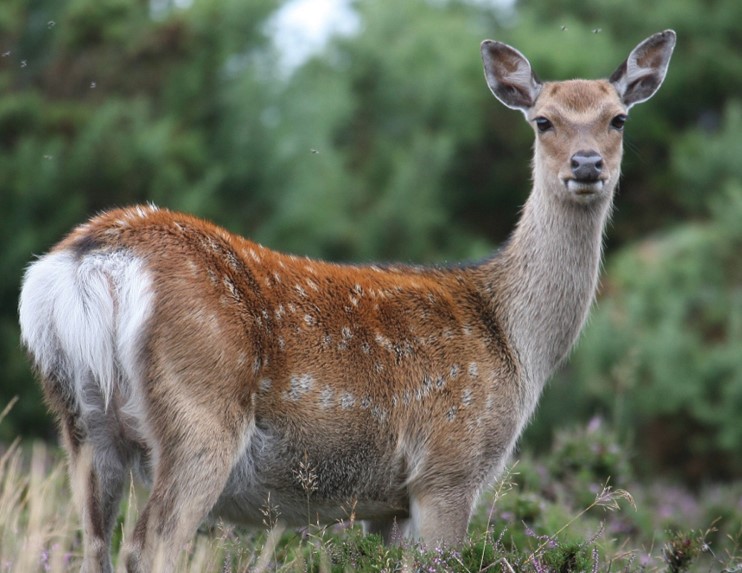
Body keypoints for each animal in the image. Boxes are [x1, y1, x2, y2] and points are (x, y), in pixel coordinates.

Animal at [18, 30, 675, 572]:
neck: (516, 342)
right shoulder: (449, 466)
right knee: (151, 544)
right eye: (543, 121)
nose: (586, 164)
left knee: (95, 543)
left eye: (618, 119)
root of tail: (87, 263)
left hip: (81, 420)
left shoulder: (386, 505)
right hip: (198, 410)